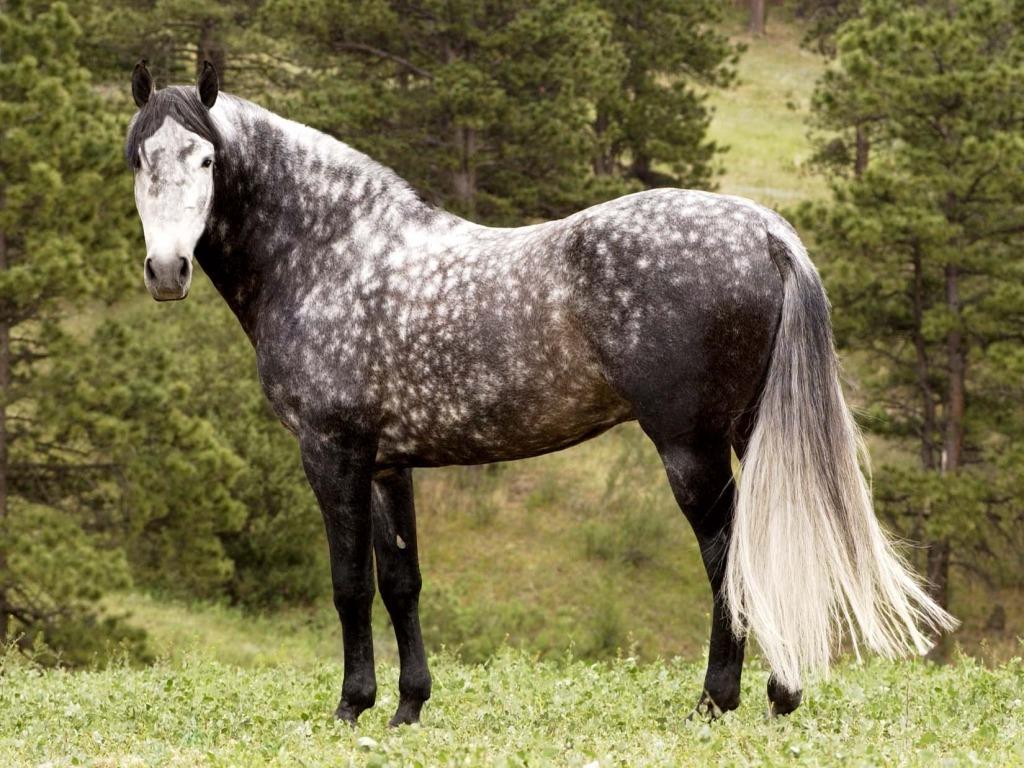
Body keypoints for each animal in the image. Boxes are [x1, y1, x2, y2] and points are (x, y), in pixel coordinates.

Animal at [125, 61, 956, 726]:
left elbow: (349, 584)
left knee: (727, 555)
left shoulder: (333, 455)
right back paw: (781, 695)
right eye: (137, 158)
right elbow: (402, 583)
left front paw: (351, 706)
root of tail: (762, 231)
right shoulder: (389, 465)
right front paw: (408, 706)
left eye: (206, 157)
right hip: (748, 431)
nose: (166, 271)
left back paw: (716, 700)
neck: (333, 253)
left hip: (689, 446)